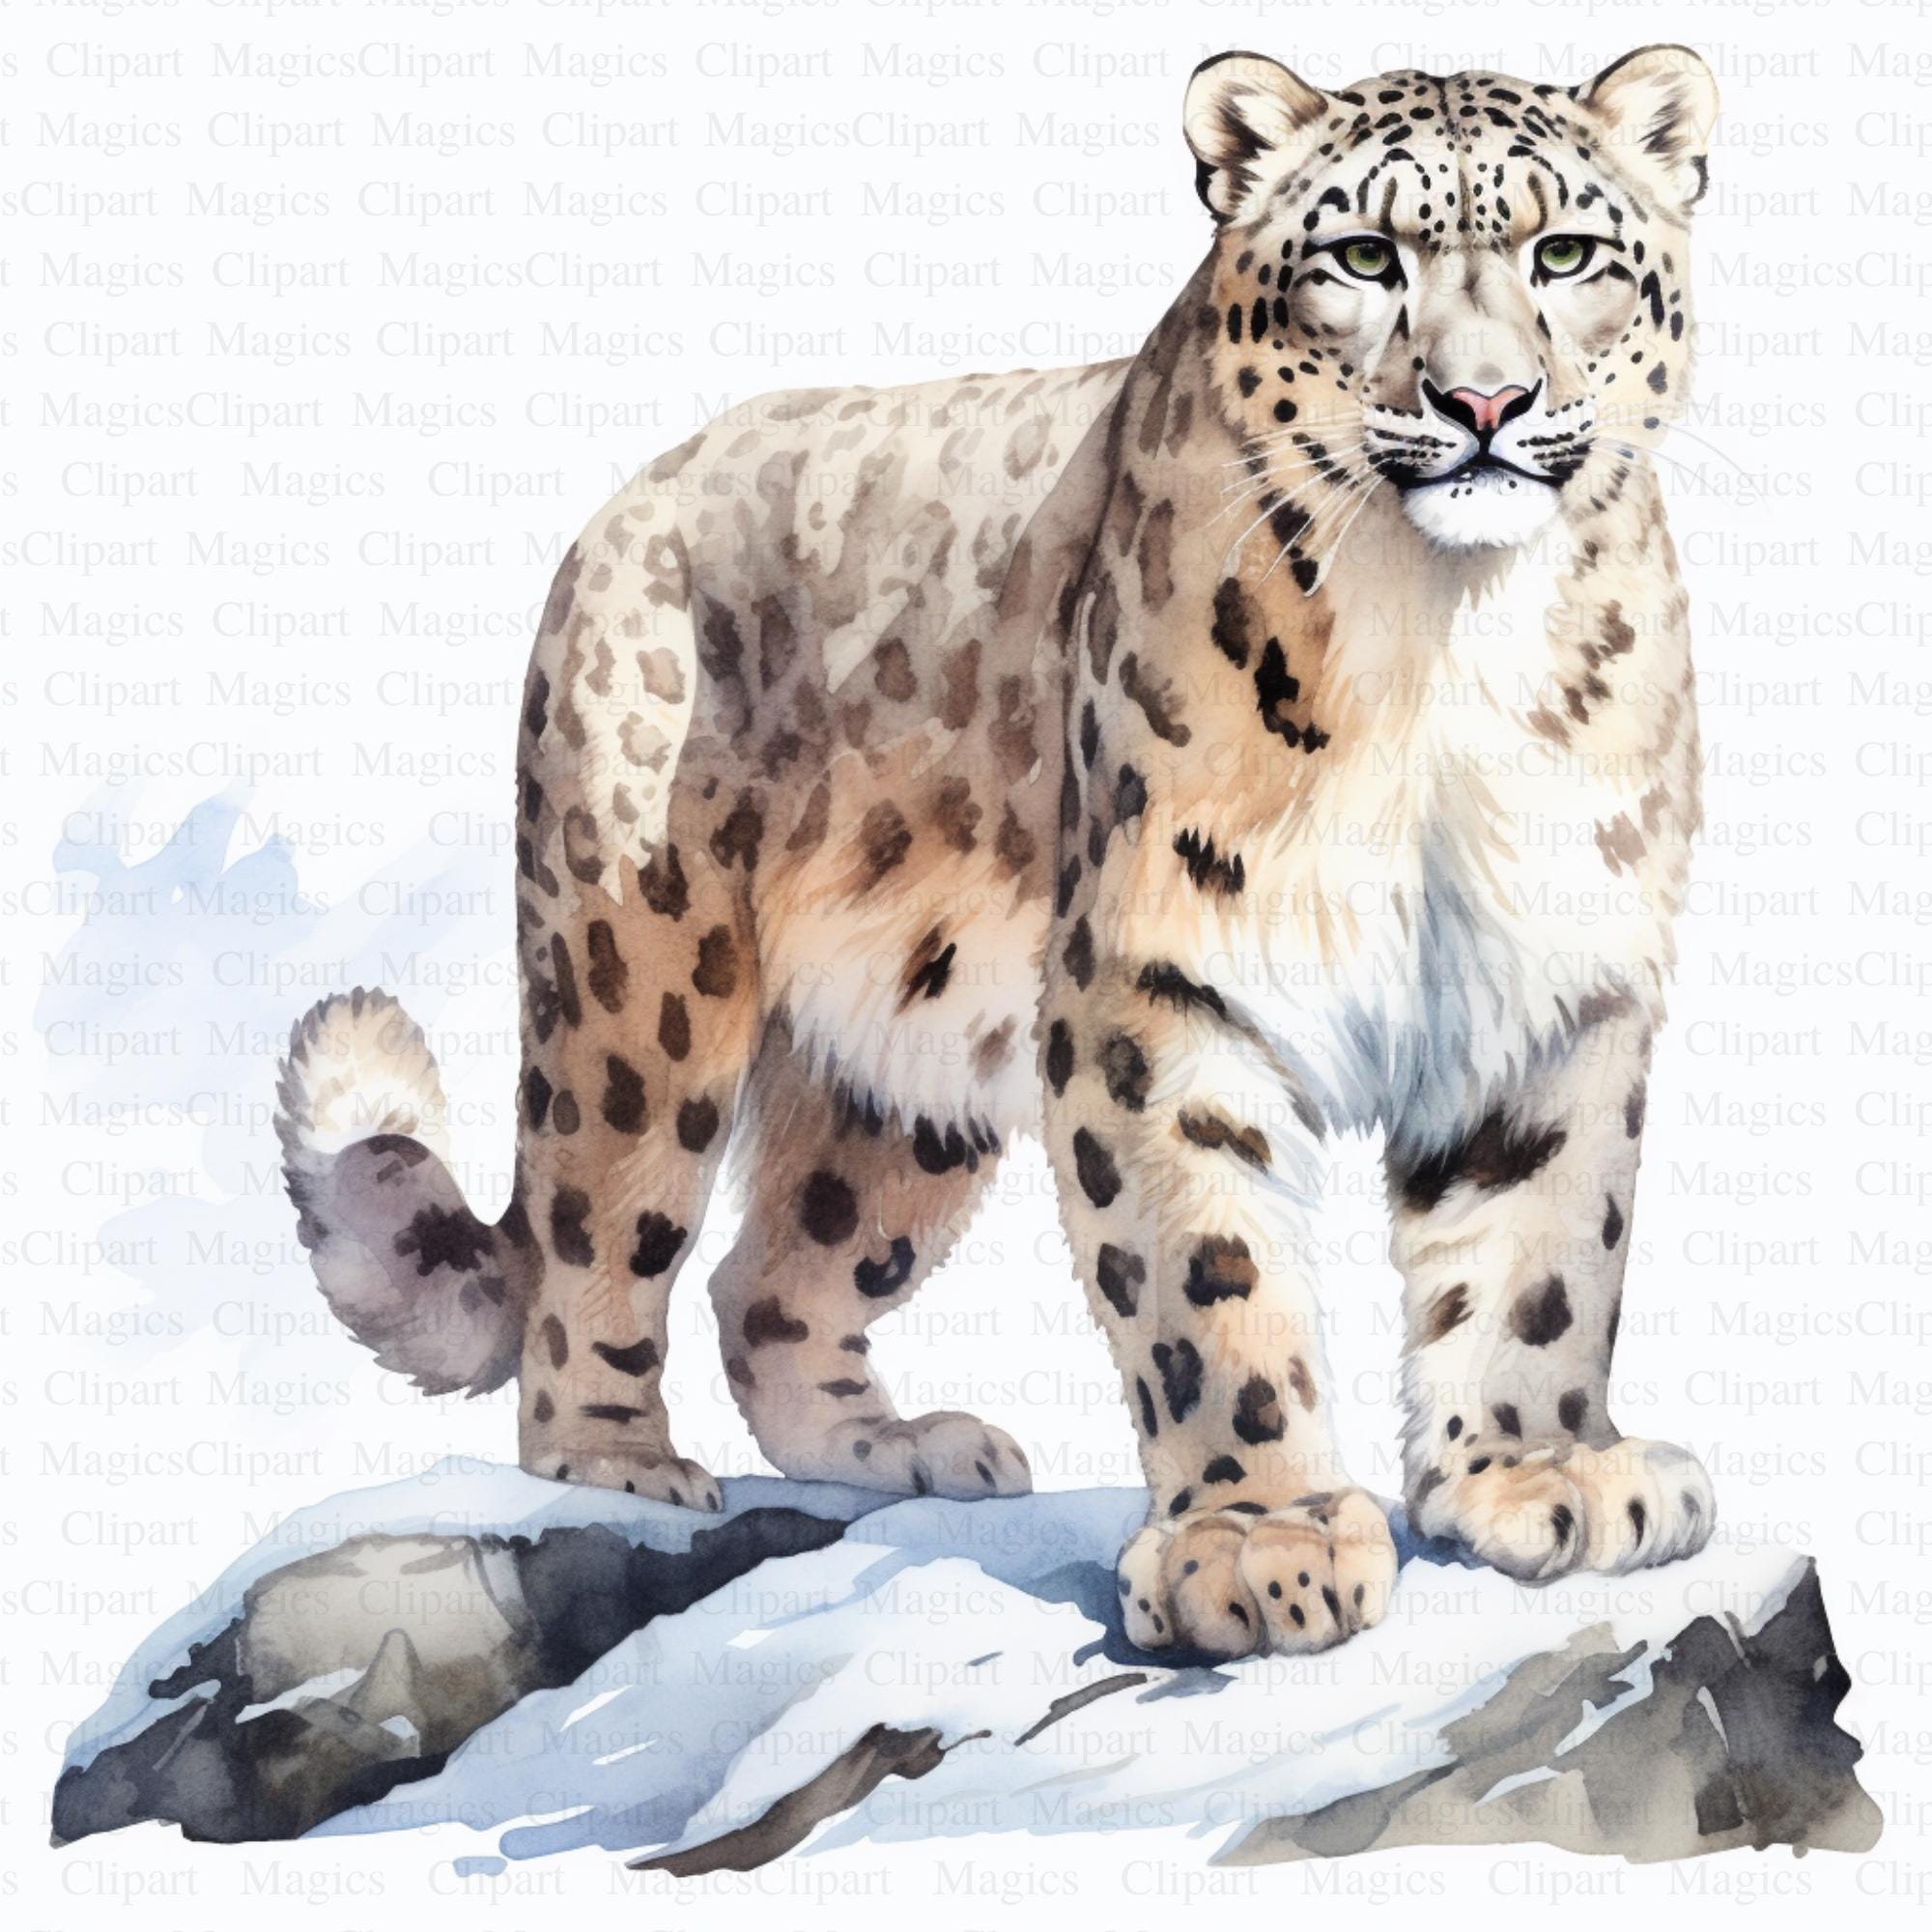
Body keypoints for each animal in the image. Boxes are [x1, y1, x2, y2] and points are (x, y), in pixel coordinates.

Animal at [277, 45, 1721, 1662]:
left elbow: (1545, 1249)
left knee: (774, 1277)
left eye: (1567, 255)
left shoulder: (1553, 974)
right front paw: (1257, 1546)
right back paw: (617, 1465)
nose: (1482, 396)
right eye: (1364, 257)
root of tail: (624, 505)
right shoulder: (1160, 981)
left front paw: (1539, 1480)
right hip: (637, 974)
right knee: (596, 1235)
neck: (1445, 636)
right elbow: (1208, 1276)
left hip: (903, 1076)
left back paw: (896, 1447)